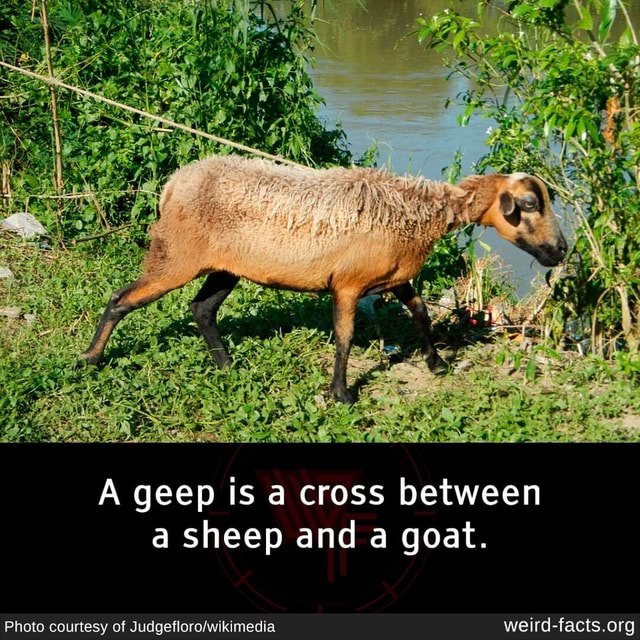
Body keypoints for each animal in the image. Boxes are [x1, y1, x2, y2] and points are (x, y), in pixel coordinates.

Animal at [79, 154, 567, 403]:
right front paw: (342, 394)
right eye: (528, 204)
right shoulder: (348, 285)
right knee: (122, 298)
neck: (418, 214)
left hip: (225, 267)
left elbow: (420, 312)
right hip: (177, 255)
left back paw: (227, 365)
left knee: (202, 308)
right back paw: (90, 358)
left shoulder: (396, 277)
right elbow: (345, 336)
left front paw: (436, 363)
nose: (561, 250)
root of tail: (171, 186)